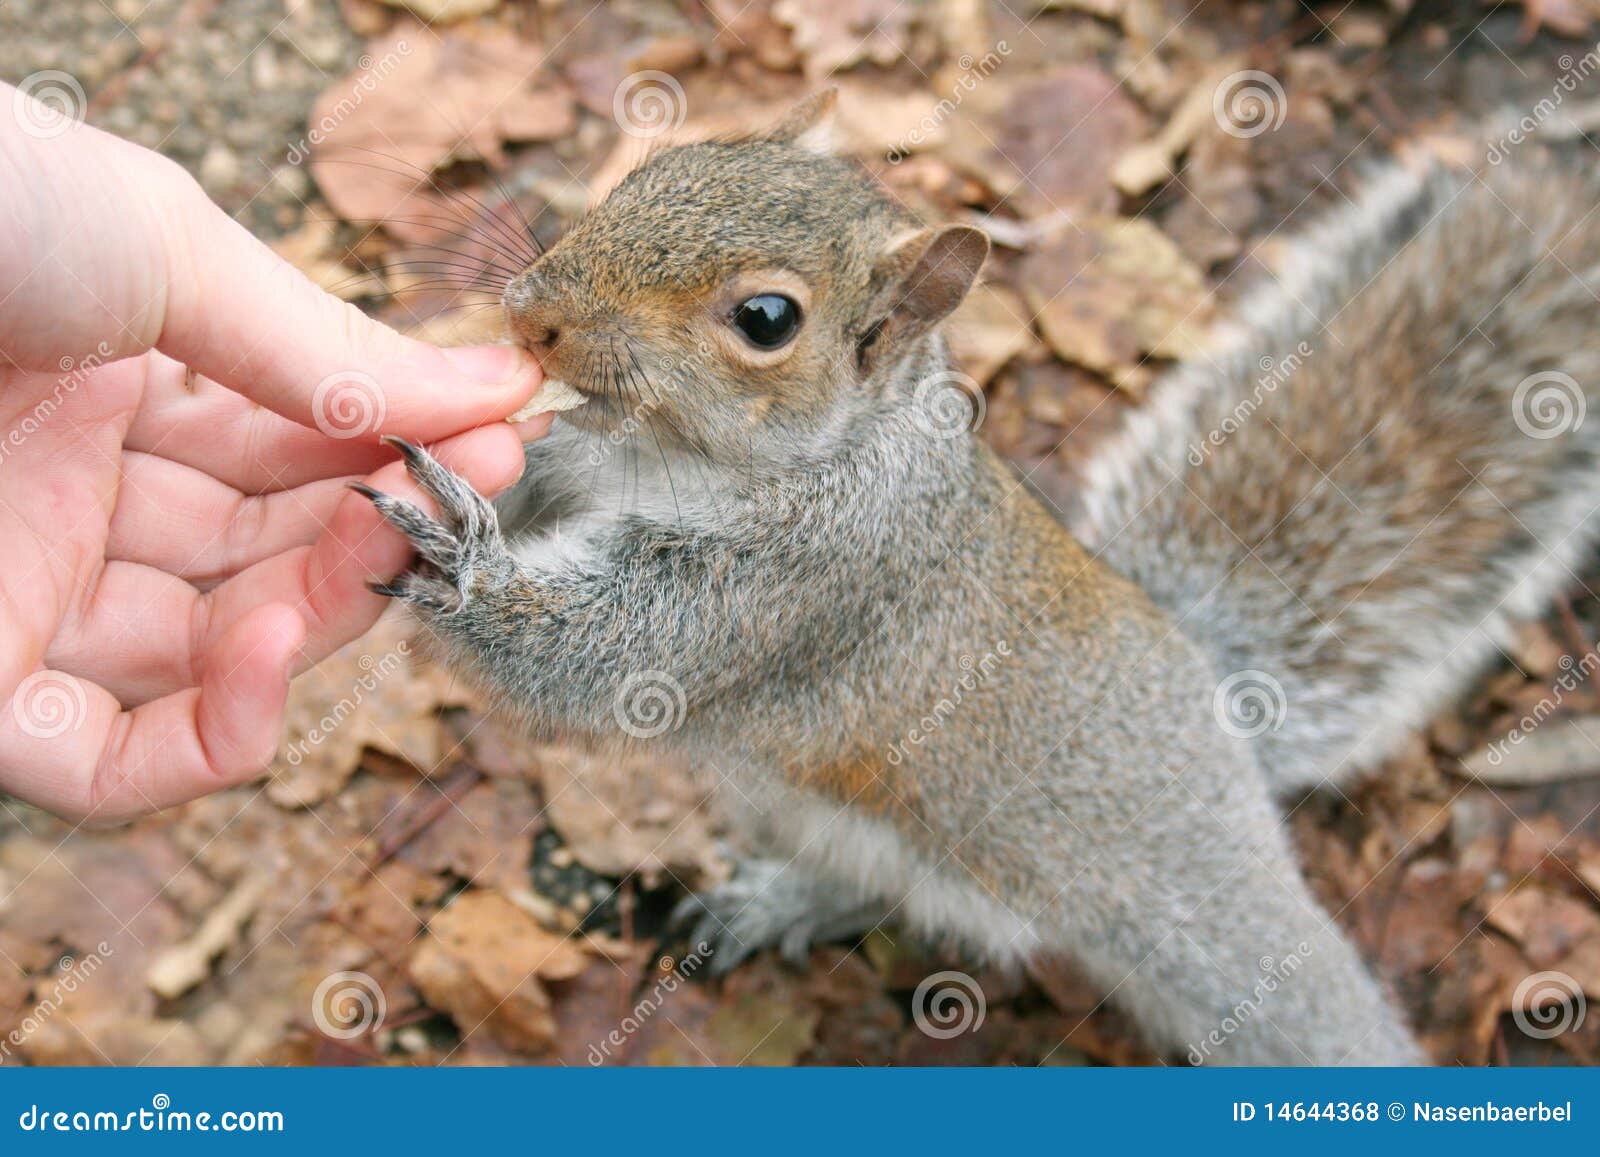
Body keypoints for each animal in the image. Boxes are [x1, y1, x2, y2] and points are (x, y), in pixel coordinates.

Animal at [356, 89, 1600, 1065]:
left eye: (766, 318)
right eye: (649, 173)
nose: (531, 316)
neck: (677, 459)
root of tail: (1219, 702)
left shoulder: (806, 582)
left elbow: (605, 654)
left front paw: (465, 562)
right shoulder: (588, 463)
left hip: (1204, 909)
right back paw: (773, 900)